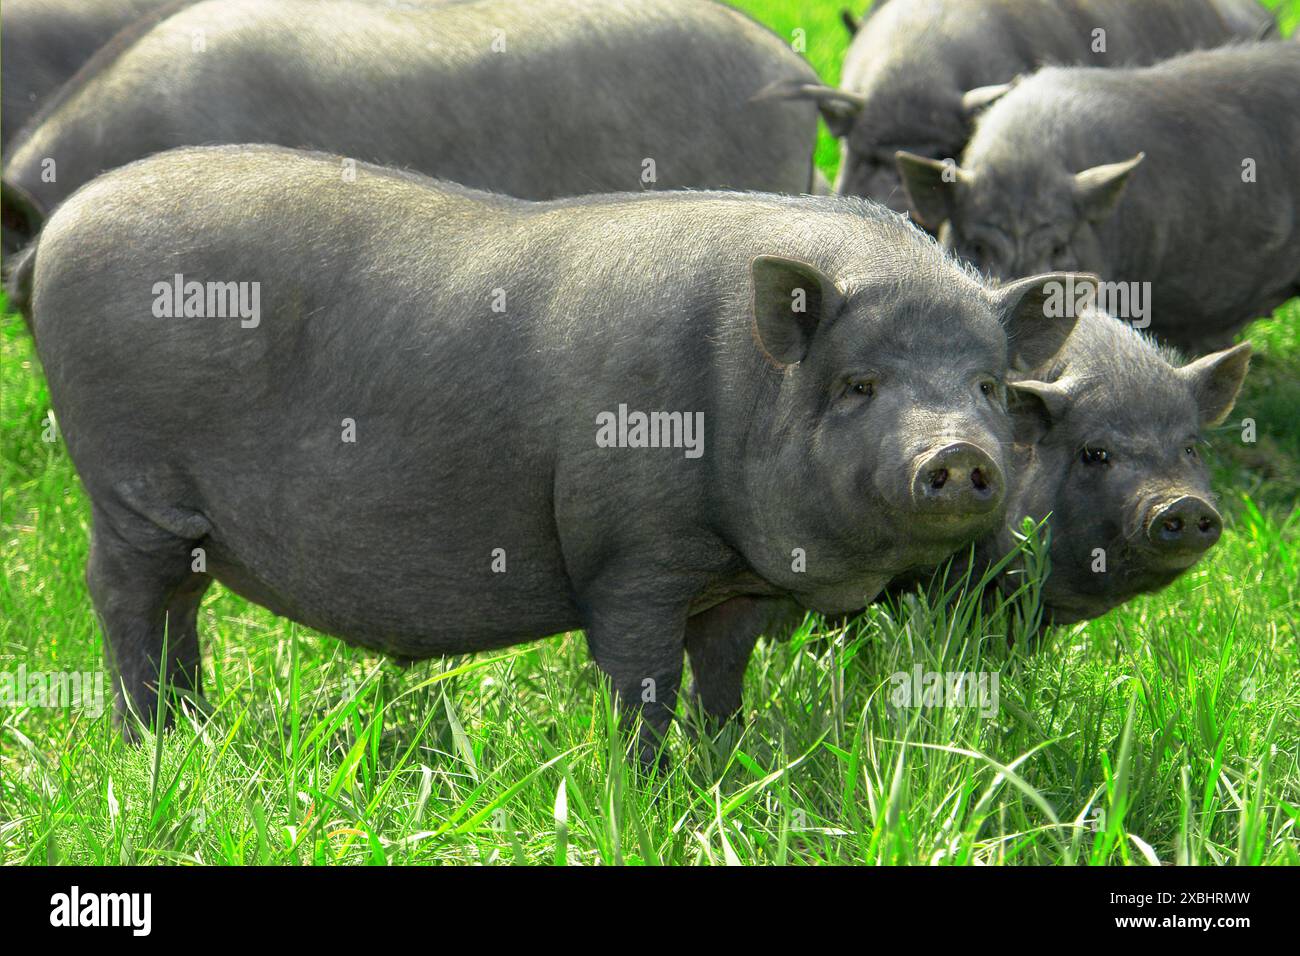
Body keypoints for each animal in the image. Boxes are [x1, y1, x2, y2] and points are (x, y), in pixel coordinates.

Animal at [12, 144, 1084, 763]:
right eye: (858, 385)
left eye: (989, 387)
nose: (958, 455)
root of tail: (59, 227)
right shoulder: (630, 555)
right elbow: (641, 678)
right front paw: (652, 790)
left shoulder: (737, 584)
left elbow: (723, 676)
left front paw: (732, 768)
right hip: (128, 485)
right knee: (124, 598)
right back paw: (150, 745)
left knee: (178, 607)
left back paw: (193, 728)